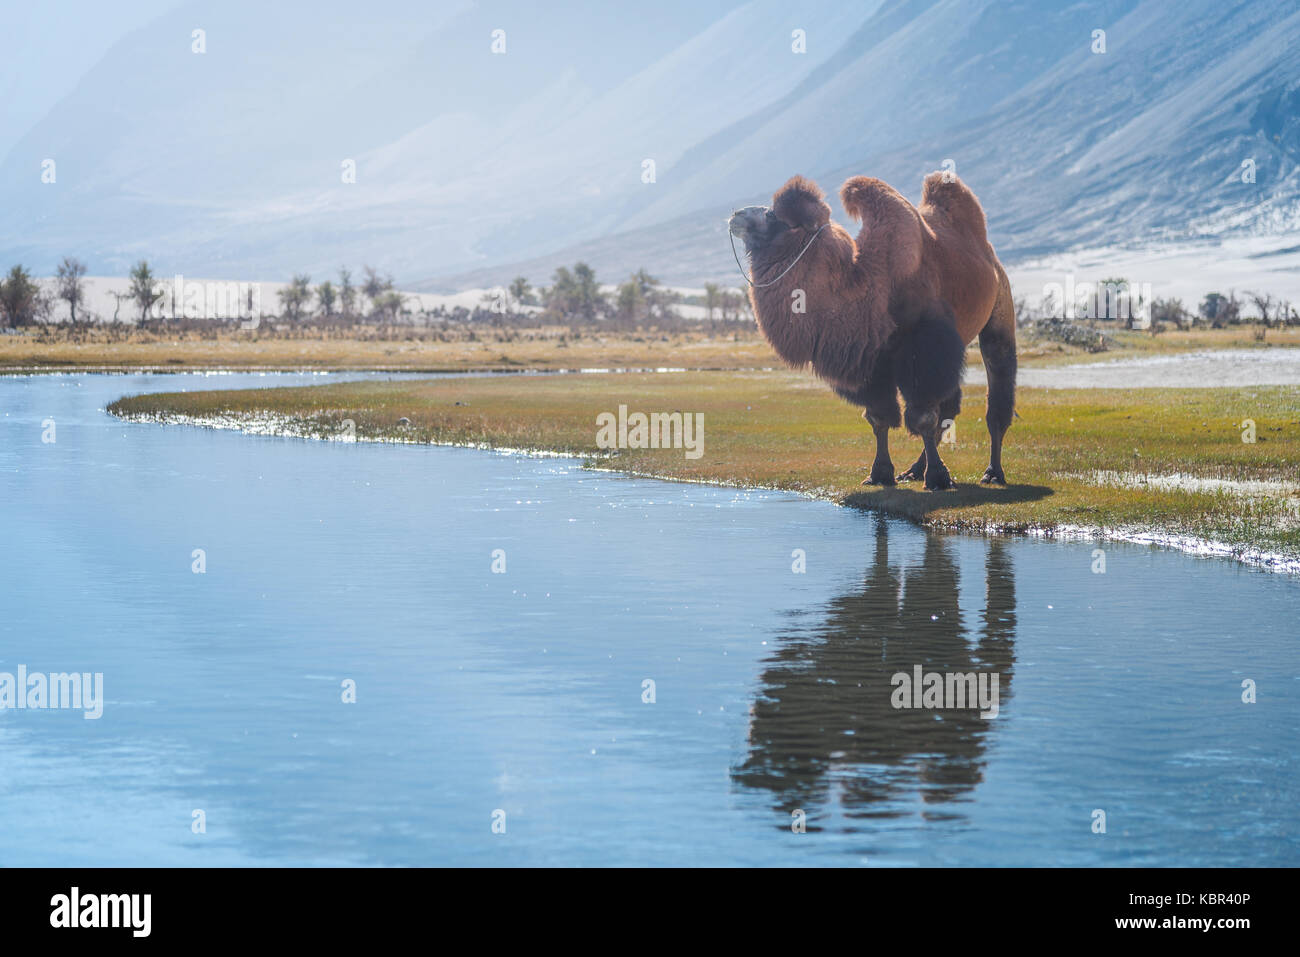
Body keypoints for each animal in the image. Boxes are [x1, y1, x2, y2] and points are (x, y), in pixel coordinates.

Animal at [728, 172, 1017, 490]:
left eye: (774, 217)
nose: (736, 215)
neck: (869, 283)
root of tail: (990, 257)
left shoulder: (924, 347)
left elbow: (923, 416)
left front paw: (938, 477)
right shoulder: (869, 359)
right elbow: (878, 417)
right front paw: (880, 473)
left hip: (999, 311)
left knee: (995, 393)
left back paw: (992, 471)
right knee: (950, 407)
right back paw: (914, 470)